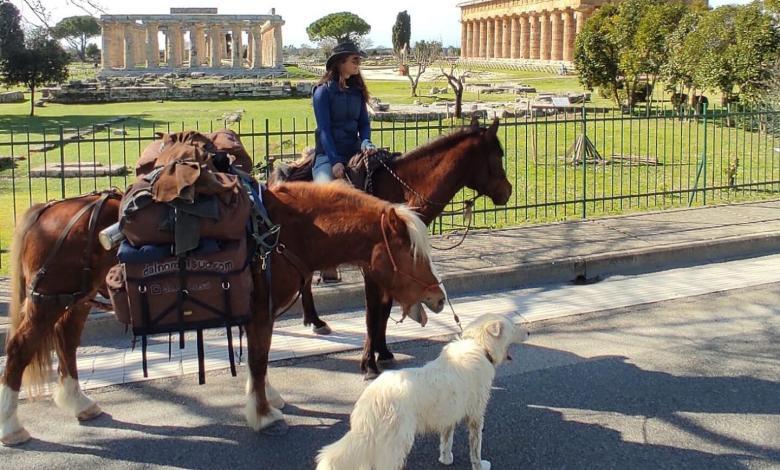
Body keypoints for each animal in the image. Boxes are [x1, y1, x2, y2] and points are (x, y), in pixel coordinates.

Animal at [0, 180, 446, 444]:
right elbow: (261, 359)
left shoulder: (255, 309)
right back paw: (12, 426)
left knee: (67, 340)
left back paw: (80, 403)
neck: (282, 229)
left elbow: (258, 361)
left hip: (76, 297)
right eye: (411, 251)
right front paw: (263, 414)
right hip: (47, 300)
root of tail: (46, 210)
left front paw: (269, 399)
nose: (439, 297)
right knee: (20, 350)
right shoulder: (260, 311)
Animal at [287, 117, 513, 379]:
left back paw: (314, 320)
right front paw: (369, 362)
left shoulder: (395, 269)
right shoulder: (373, 271)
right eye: (498, 156)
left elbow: (384, 310)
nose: (508, 191)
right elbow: (372, 314)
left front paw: (382, 351)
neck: (402, 194)